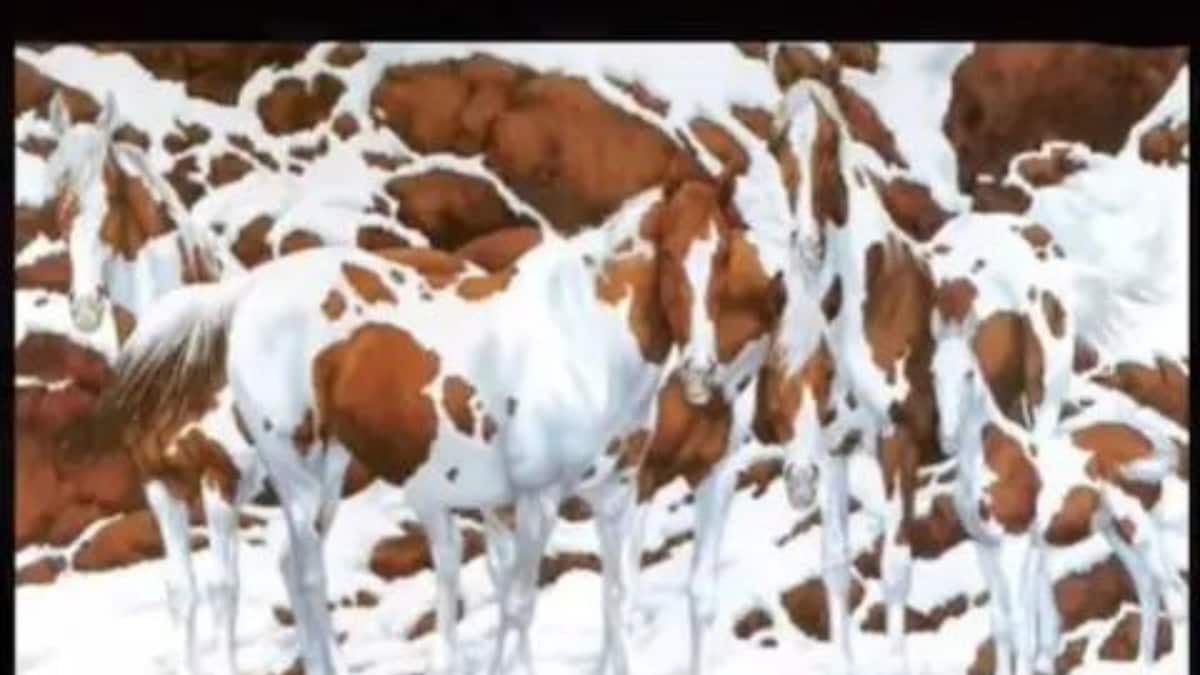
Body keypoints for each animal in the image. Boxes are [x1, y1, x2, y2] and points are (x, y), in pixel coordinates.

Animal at [85, 173, 754, 675]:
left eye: (723, 255)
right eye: (669, 255)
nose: (701, 372)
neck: (579, 341)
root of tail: (249, 289)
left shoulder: (614, 496)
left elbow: (616, 603)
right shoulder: (536, 500)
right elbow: (519, 605)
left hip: (328, 472)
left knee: (293, 572)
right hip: (292, 473)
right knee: (307, 576)